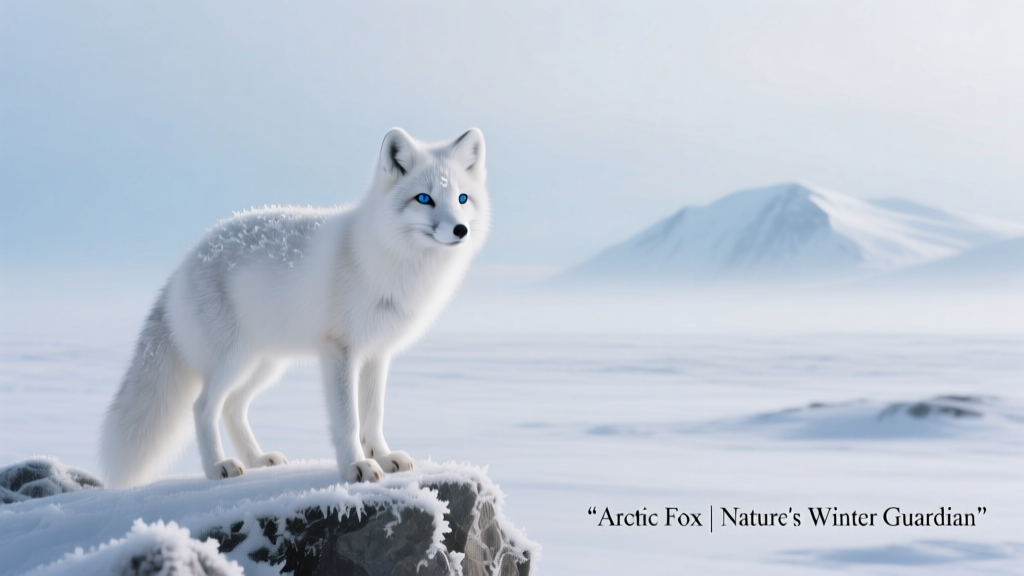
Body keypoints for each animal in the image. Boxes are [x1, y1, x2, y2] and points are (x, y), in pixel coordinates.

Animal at [100, 128, 489, 488]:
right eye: (424, 199)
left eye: (462, 198)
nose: (460, 229)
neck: (389, 258)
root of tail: (183, 263)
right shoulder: (340, 350)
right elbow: (349, 419)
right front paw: (356, 466)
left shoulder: (377, 353)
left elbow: (373, 414)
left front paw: (382, 456)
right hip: (234, 359)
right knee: (204, 406)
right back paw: (218, 468)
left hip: (264, 364)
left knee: (232, 407)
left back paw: (256, 460)